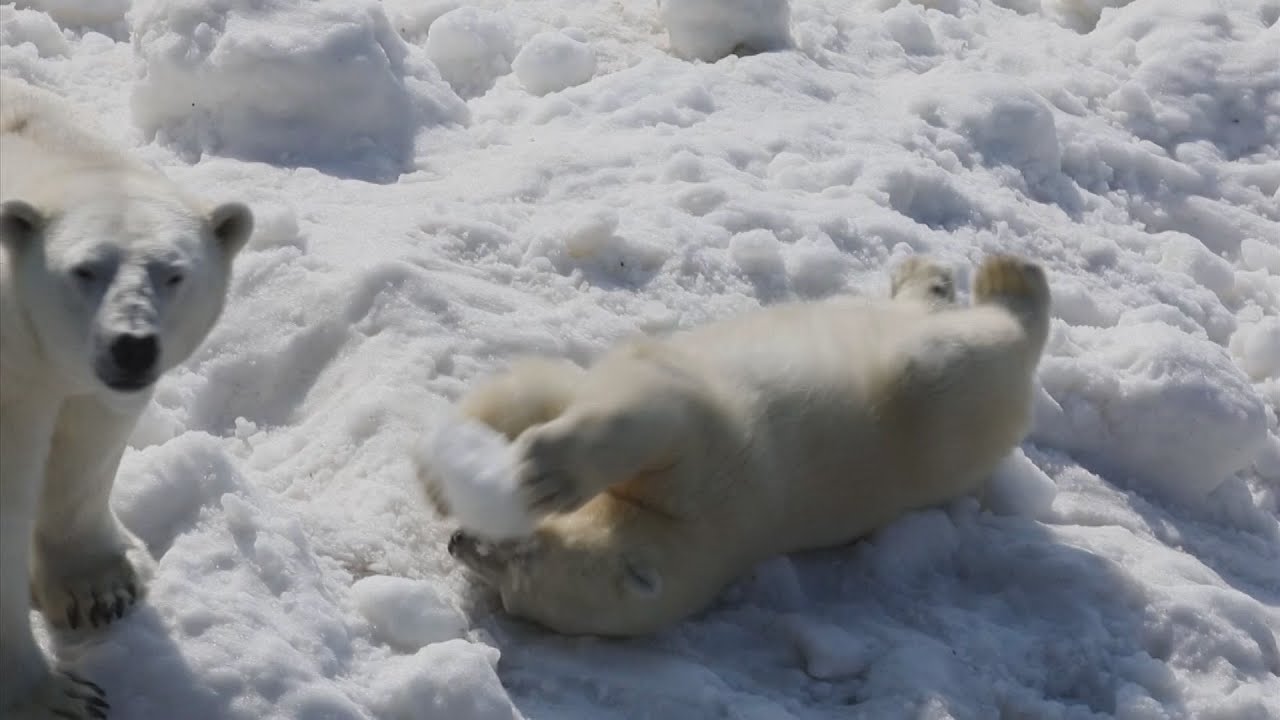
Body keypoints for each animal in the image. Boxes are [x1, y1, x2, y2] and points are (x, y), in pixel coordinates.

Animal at [1, 78, 253, 719]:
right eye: (85, 270)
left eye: (174, 272)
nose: (132, 346)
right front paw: (57, 698)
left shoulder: (76, 382)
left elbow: (86, 443)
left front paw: (100, 591)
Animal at [422, 253, 1050, 636]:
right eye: (507, 594)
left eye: (521, 572)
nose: (459, 542)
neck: (690, 529)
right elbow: (556, 389)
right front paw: (442, 470)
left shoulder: (709, 466)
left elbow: (651, 408)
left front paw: (540, 472)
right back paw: (929, 275)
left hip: (940, 409)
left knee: (952, 360)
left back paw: (1010, 279)